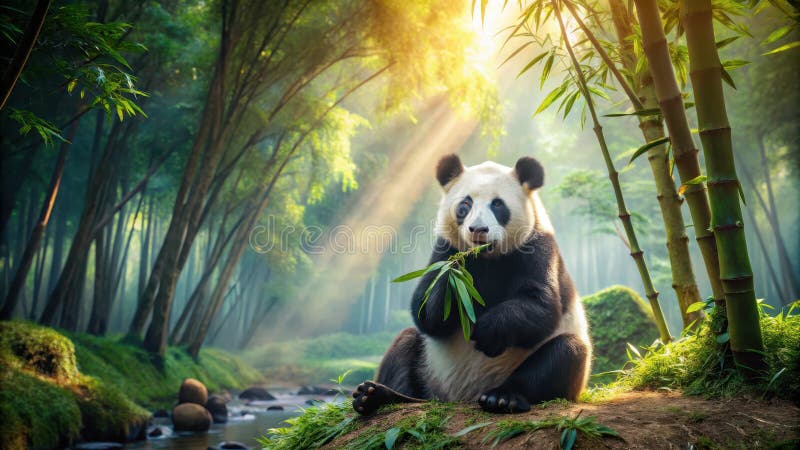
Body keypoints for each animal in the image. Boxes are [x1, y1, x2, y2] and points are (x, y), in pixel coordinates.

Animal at [352, 154, 591, 414]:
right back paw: (378, 396)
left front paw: (487, 331)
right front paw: (451, 281)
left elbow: (541, 306)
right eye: (465, 205)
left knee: (564, 354)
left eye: (498, 205)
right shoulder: (444, 249)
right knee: (404, 346)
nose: (478, 229)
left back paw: (503, 398)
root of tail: (461, 398)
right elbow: (425, 311)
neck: (484, 256)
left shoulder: (537, 247)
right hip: (429, 370)